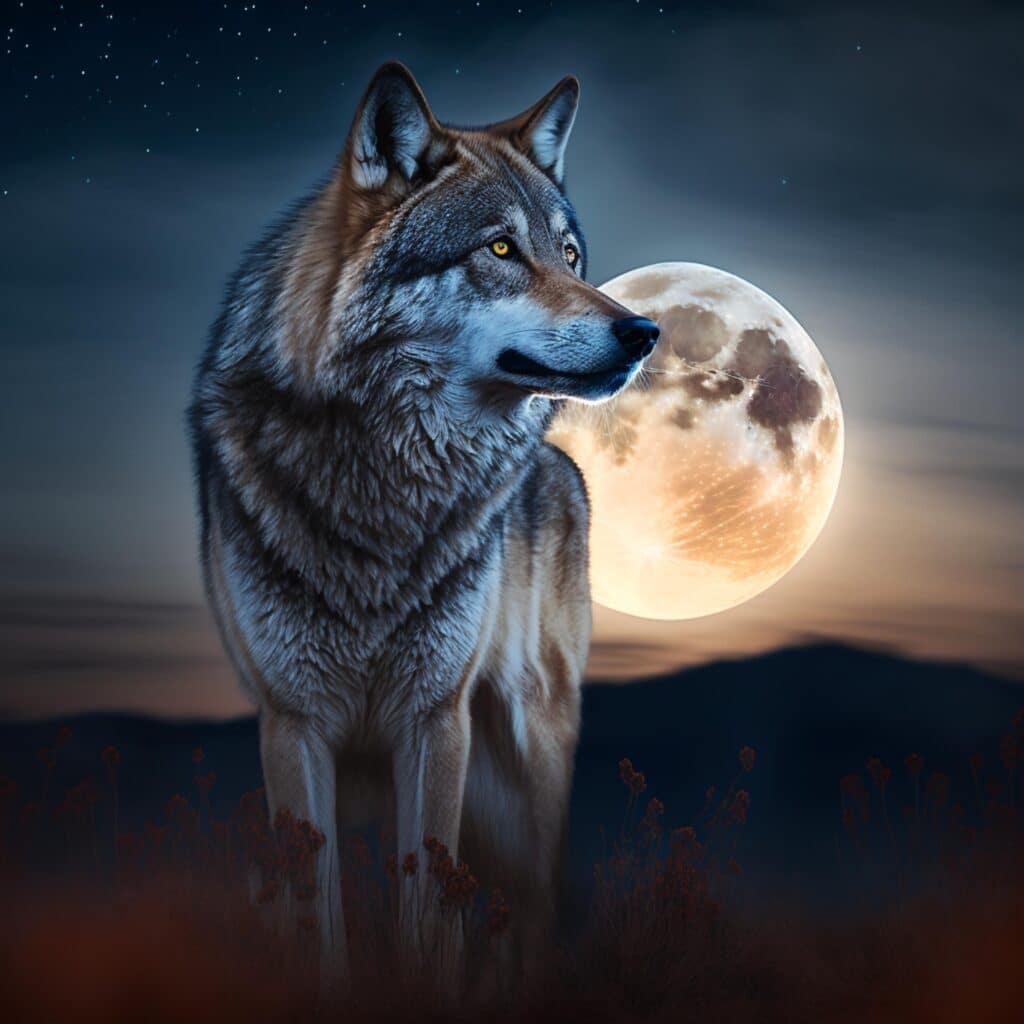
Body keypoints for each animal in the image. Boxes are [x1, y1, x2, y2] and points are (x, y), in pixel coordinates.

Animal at [189, 61, 658, 992]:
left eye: (571, 256)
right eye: (501, 250)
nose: (644, 331)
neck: (386, 489)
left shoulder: (437, 718)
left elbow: (427, 914)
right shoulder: (293, 722)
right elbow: (320, 921)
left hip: (529, 752)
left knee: (530, 907)